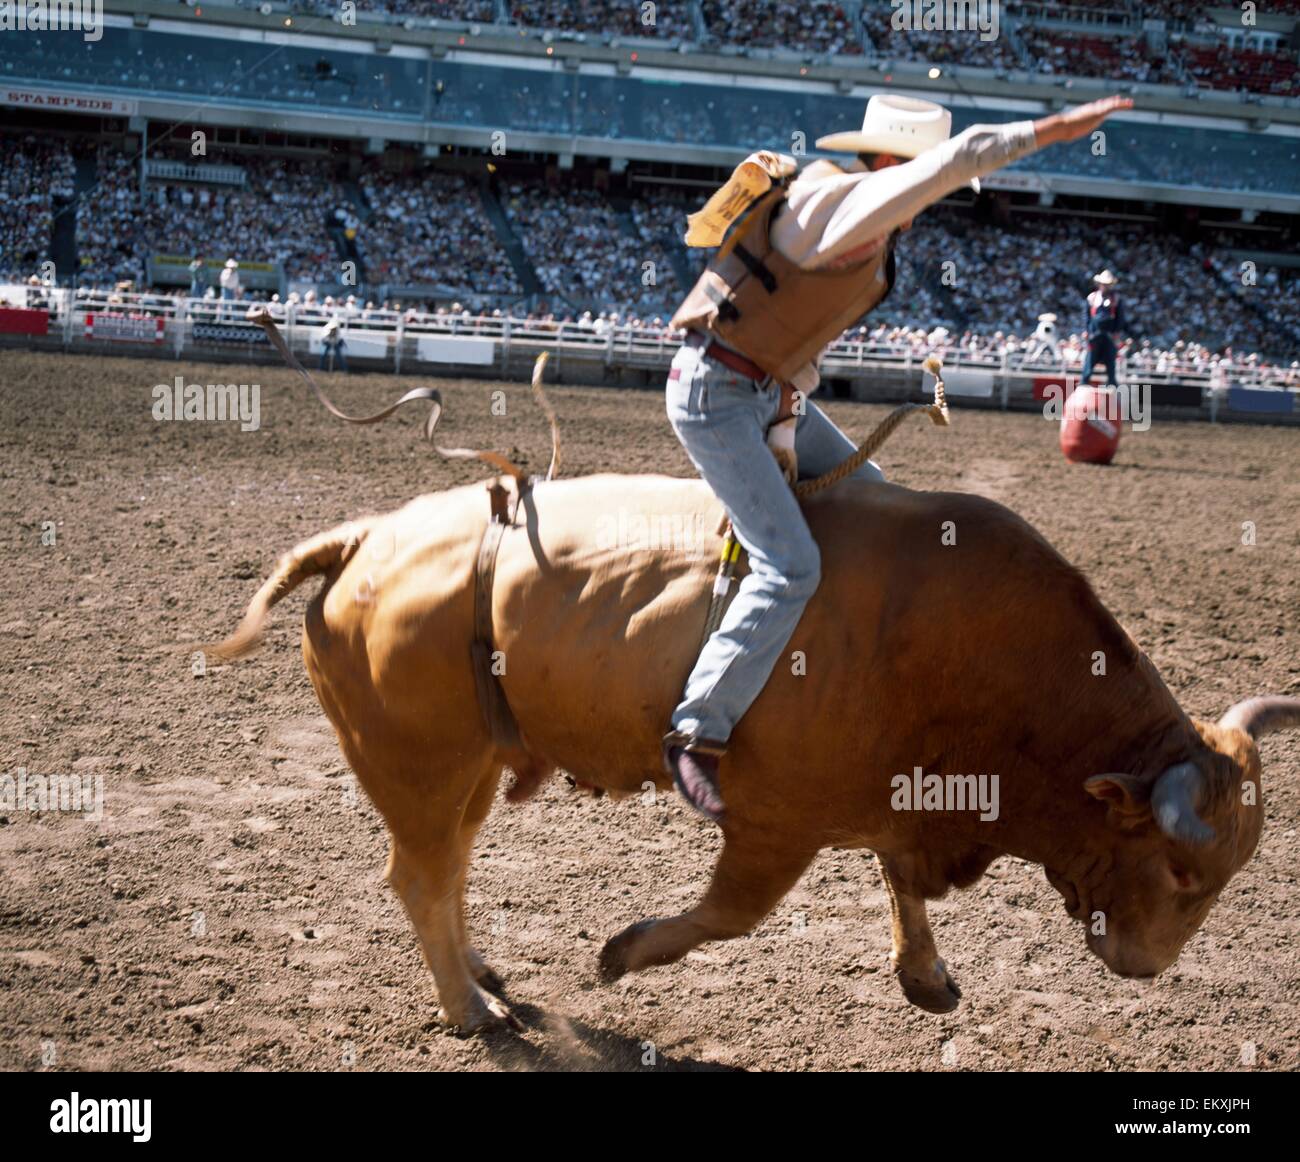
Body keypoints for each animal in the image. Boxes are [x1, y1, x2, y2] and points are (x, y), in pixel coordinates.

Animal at [211, 472, 1297, 1033]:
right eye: (1178, 868)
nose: (1145, 967)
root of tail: (366, 539)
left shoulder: (893, 797)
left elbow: (898, 876)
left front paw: (924, 974)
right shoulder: (777, 823)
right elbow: (734, 913)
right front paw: (621, 953)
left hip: (471, 762)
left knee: (448, 870)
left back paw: (478, 969)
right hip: (419, 765)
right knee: (418, 873)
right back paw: (466, 1004)